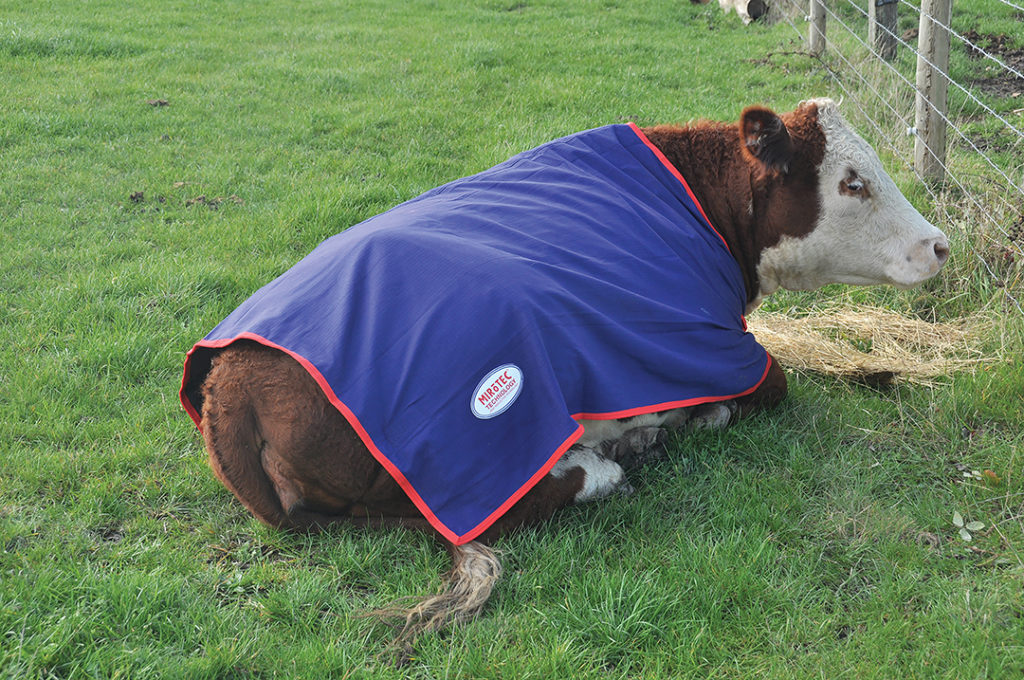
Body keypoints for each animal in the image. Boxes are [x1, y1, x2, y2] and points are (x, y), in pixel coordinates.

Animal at [179, 99, 949, 651]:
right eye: (852, 183)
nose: (940, 245)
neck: (705, 210)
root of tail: (230, 383)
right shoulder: (716, 346)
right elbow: (765, 388)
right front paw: (683, 417)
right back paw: (609, 459)